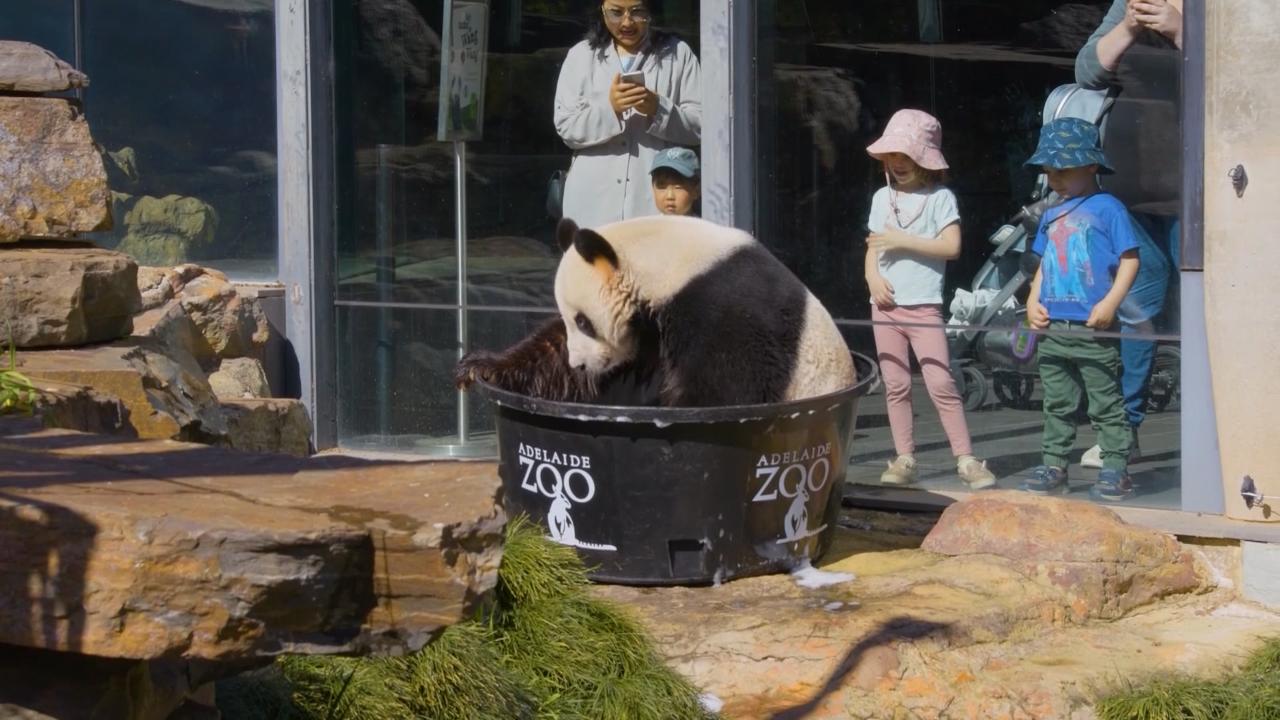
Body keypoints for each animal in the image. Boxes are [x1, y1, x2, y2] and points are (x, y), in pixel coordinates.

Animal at [456, 215, 855, 407]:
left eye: (585, 322)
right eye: (573, 321)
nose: (580, 365)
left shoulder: (723, 308)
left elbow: (728, 389)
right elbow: (553, 357)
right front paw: (480, 366)